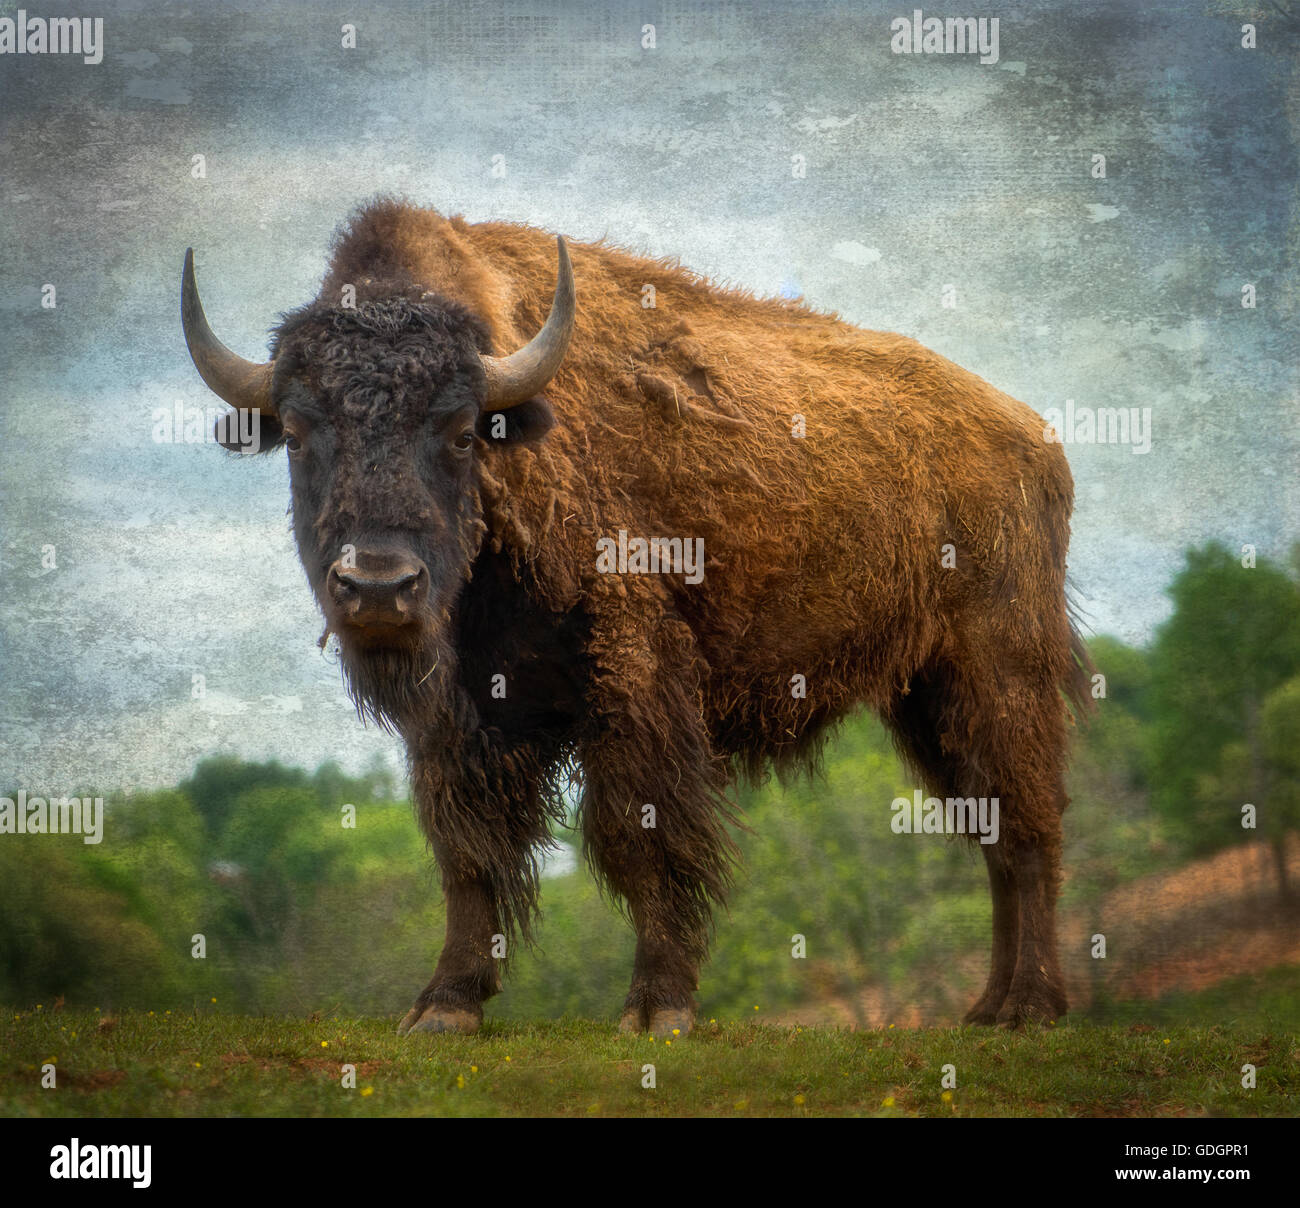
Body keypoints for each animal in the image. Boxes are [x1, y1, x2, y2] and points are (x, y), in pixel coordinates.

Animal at [181, 198, 1091, 1034]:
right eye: (301, 433)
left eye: (462, 432)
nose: (377, 586)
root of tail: (1032, 439)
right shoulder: (457, 716)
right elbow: (467, 850)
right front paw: (445, 1005)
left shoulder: (636, 687)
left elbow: (641, 834)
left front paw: (658, 1008)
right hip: (924, 698)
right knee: (992, 830)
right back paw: (987, 1008)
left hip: (997, 672)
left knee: (1027, 825)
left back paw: (1031, 1008)